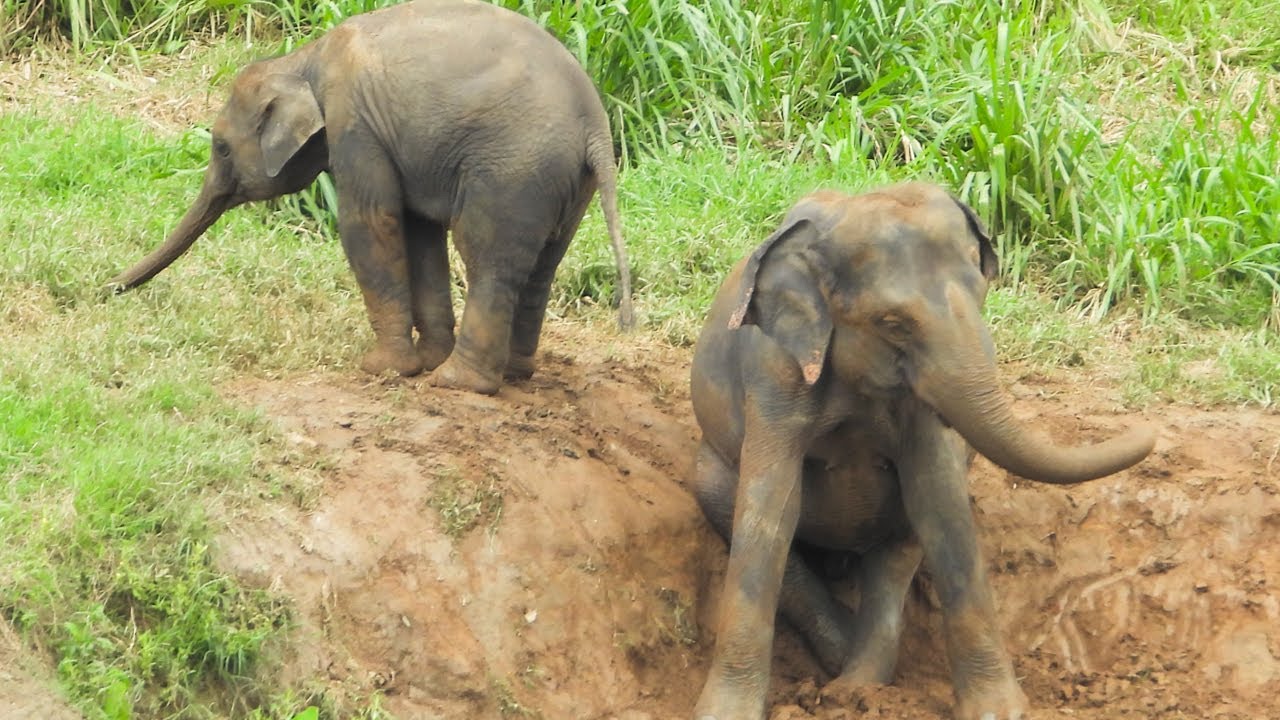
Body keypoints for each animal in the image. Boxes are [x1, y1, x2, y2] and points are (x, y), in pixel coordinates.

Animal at [107, 0, 633, 395]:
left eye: (219, 147)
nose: (104, 288)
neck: (301, 60)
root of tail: (594, 124)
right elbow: (419, 232)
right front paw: (425, 358)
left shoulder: (355, 125)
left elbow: (371, 223)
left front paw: (384, 369)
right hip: (565, 181)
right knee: (543, 264)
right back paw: (514, 373)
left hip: (514, 169)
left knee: (487, 258)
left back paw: (459, 382)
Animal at [688, 182, 1156, 720]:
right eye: (892, 323)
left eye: (982, 291)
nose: (1147, 427)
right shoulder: (775, 371)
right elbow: (771, 510)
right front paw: (723, 714)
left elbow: (937, 497)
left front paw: (1000, 711)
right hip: (711, 467)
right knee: (720, 494)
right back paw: (845, 673)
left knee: (898, 551)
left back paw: (858, 685)